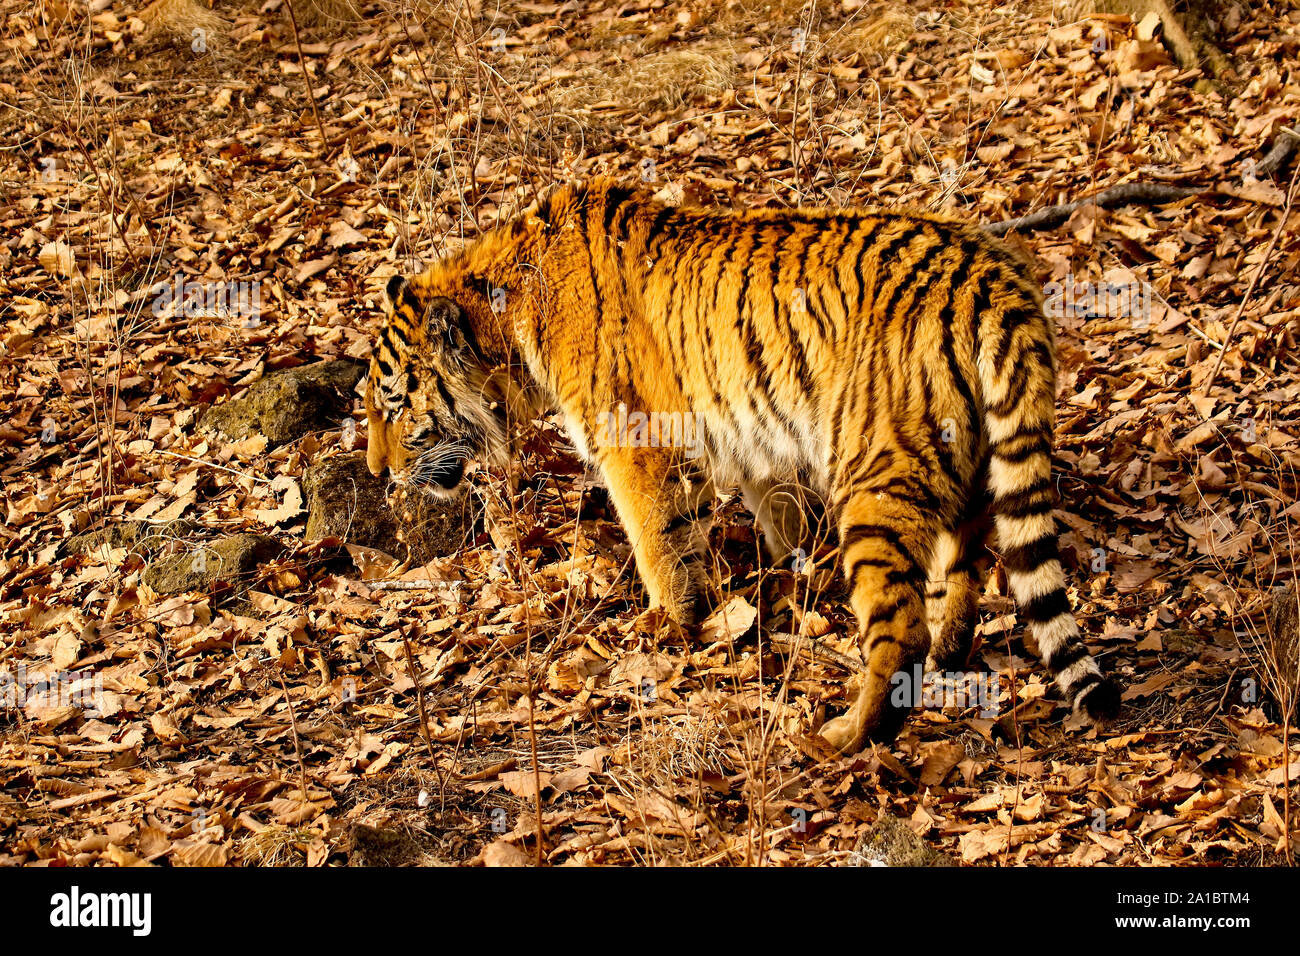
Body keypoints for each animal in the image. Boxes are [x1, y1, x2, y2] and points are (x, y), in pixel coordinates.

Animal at [364, 177, 1121, 754]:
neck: (505, 318)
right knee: (963, 571)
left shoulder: (633, 445)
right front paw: (792, 588)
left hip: (874, 477)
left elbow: (656, 544)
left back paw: (849, 734)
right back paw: (947, 655)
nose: (376, 472)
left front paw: (668, 627)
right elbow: (763, 524)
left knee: (897, 627)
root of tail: (994, 280)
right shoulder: (750, 444)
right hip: (964, 473)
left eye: (394, 404)